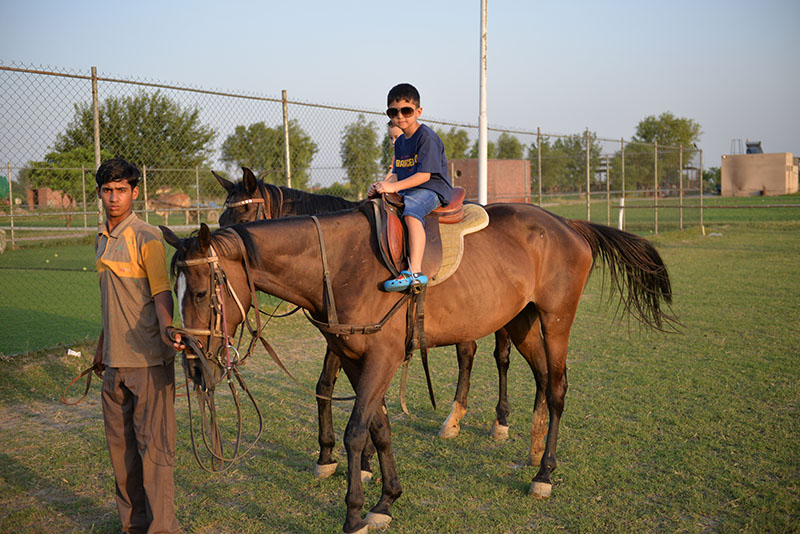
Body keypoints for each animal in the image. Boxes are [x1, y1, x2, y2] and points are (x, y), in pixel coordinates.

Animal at [162, 200, 675, 534]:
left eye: (203, 292)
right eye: (175, 293)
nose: (195, 368)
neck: (341, 264)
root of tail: (567, 223)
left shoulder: (382, 358)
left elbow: (355, 432)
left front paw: (354, 512)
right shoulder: (357, 360)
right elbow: (379, 428)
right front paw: (386, 500)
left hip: (556, 320)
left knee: (558, 390)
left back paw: (544, 475)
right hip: (522, 322)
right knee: (543, 381)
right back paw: (530, 452)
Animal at [214, 168, 515, 481]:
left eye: (244, 219)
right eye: (222, 220)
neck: (339, 256)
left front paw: (365, 461)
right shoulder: (340, 338)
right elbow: (326, 385)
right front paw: (327, 456)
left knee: (501, 358)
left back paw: (500, 421)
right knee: (467, 353)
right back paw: (454, 420)